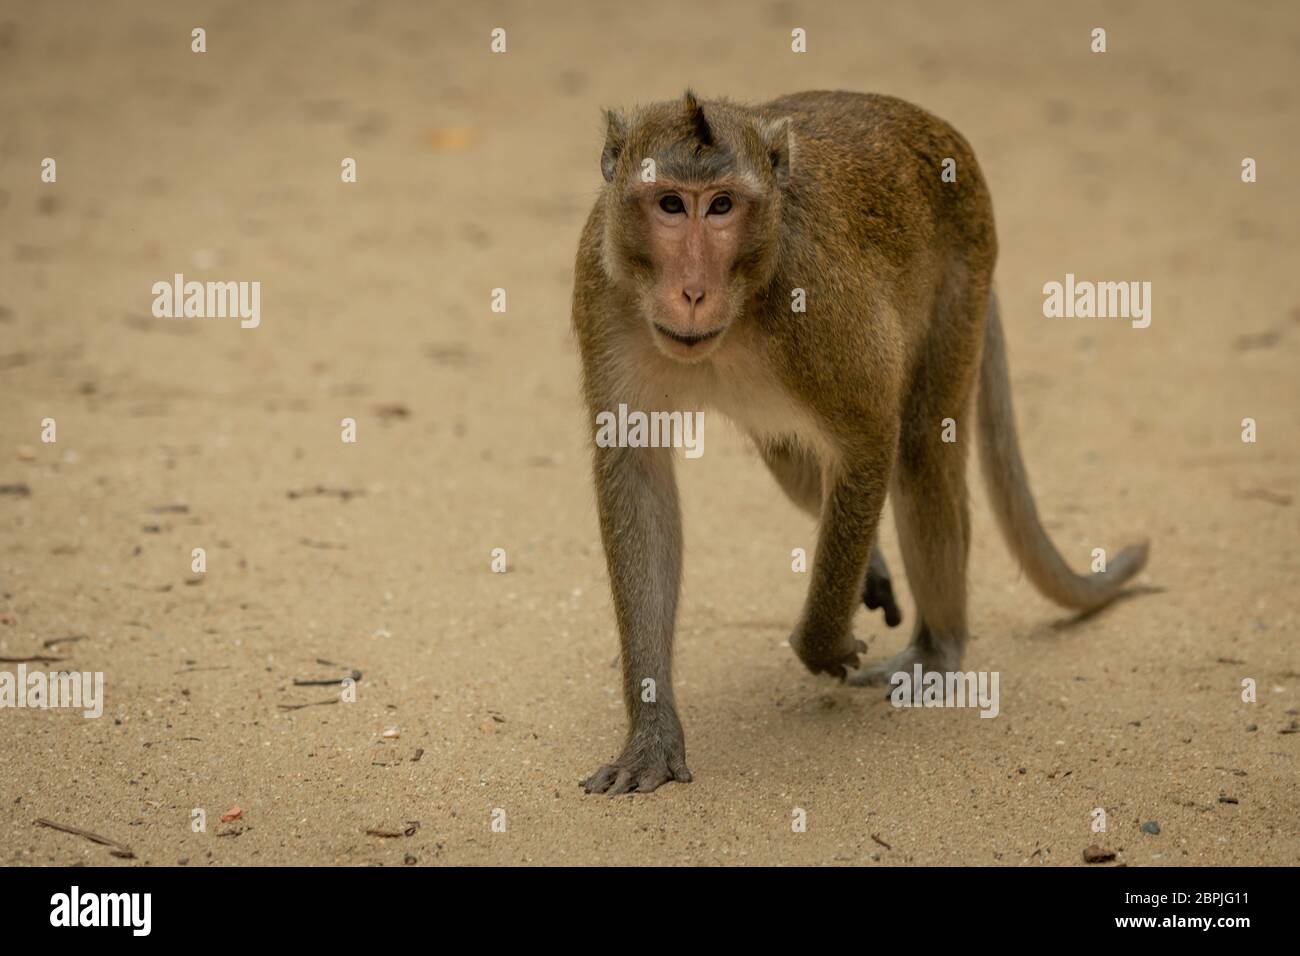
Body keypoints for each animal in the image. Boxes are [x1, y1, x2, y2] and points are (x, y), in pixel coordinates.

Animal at [571, 90, 1149, 795]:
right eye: (671, 204)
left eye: (723, 205)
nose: (693, 290)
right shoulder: (602, 294)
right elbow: (636, 473)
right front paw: (652, 736)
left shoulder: (818, 304)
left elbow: (873, 439)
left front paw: (824, 643)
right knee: (792, 458)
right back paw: (871, 567)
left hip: (962, 275)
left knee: (920, 450)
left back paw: (937, 650)